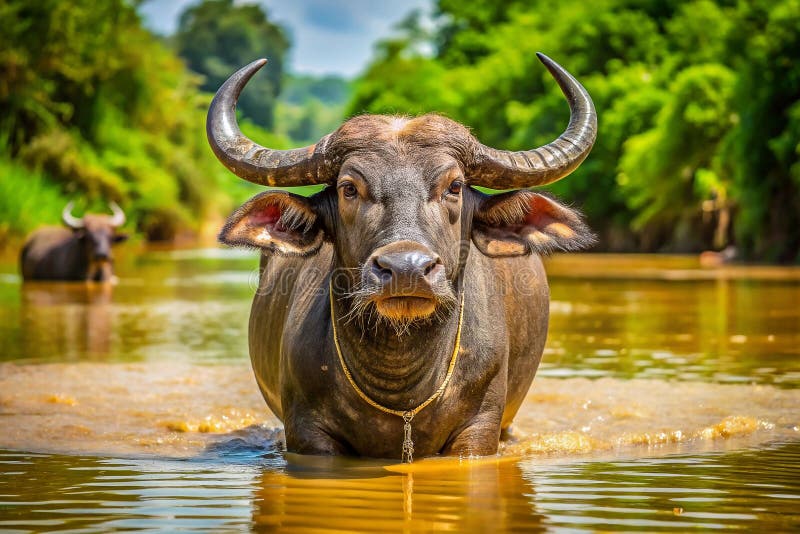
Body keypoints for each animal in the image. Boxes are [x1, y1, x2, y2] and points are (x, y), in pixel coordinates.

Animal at [209, 53, 596, 461]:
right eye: (349, 188)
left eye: (454, 186)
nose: (406, 269)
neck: (401, 376)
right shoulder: (307, 432)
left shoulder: (480, 428)